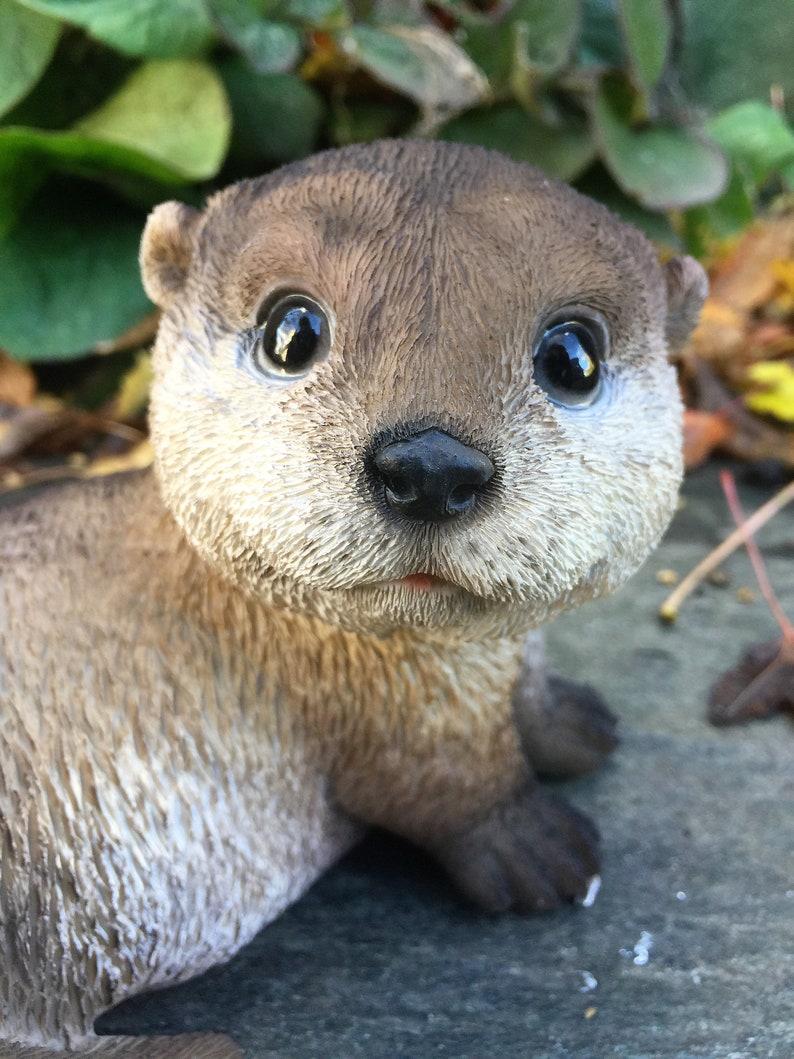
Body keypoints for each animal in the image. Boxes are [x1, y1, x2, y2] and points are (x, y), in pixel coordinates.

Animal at [0, 139, 707, 1055]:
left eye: (572, 358)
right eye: (291, 332)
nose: (431, 466)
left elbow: (531, 693)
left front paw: (573, 720)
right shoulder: (391, 715)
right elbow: (445, 786)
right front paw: (537, 847)